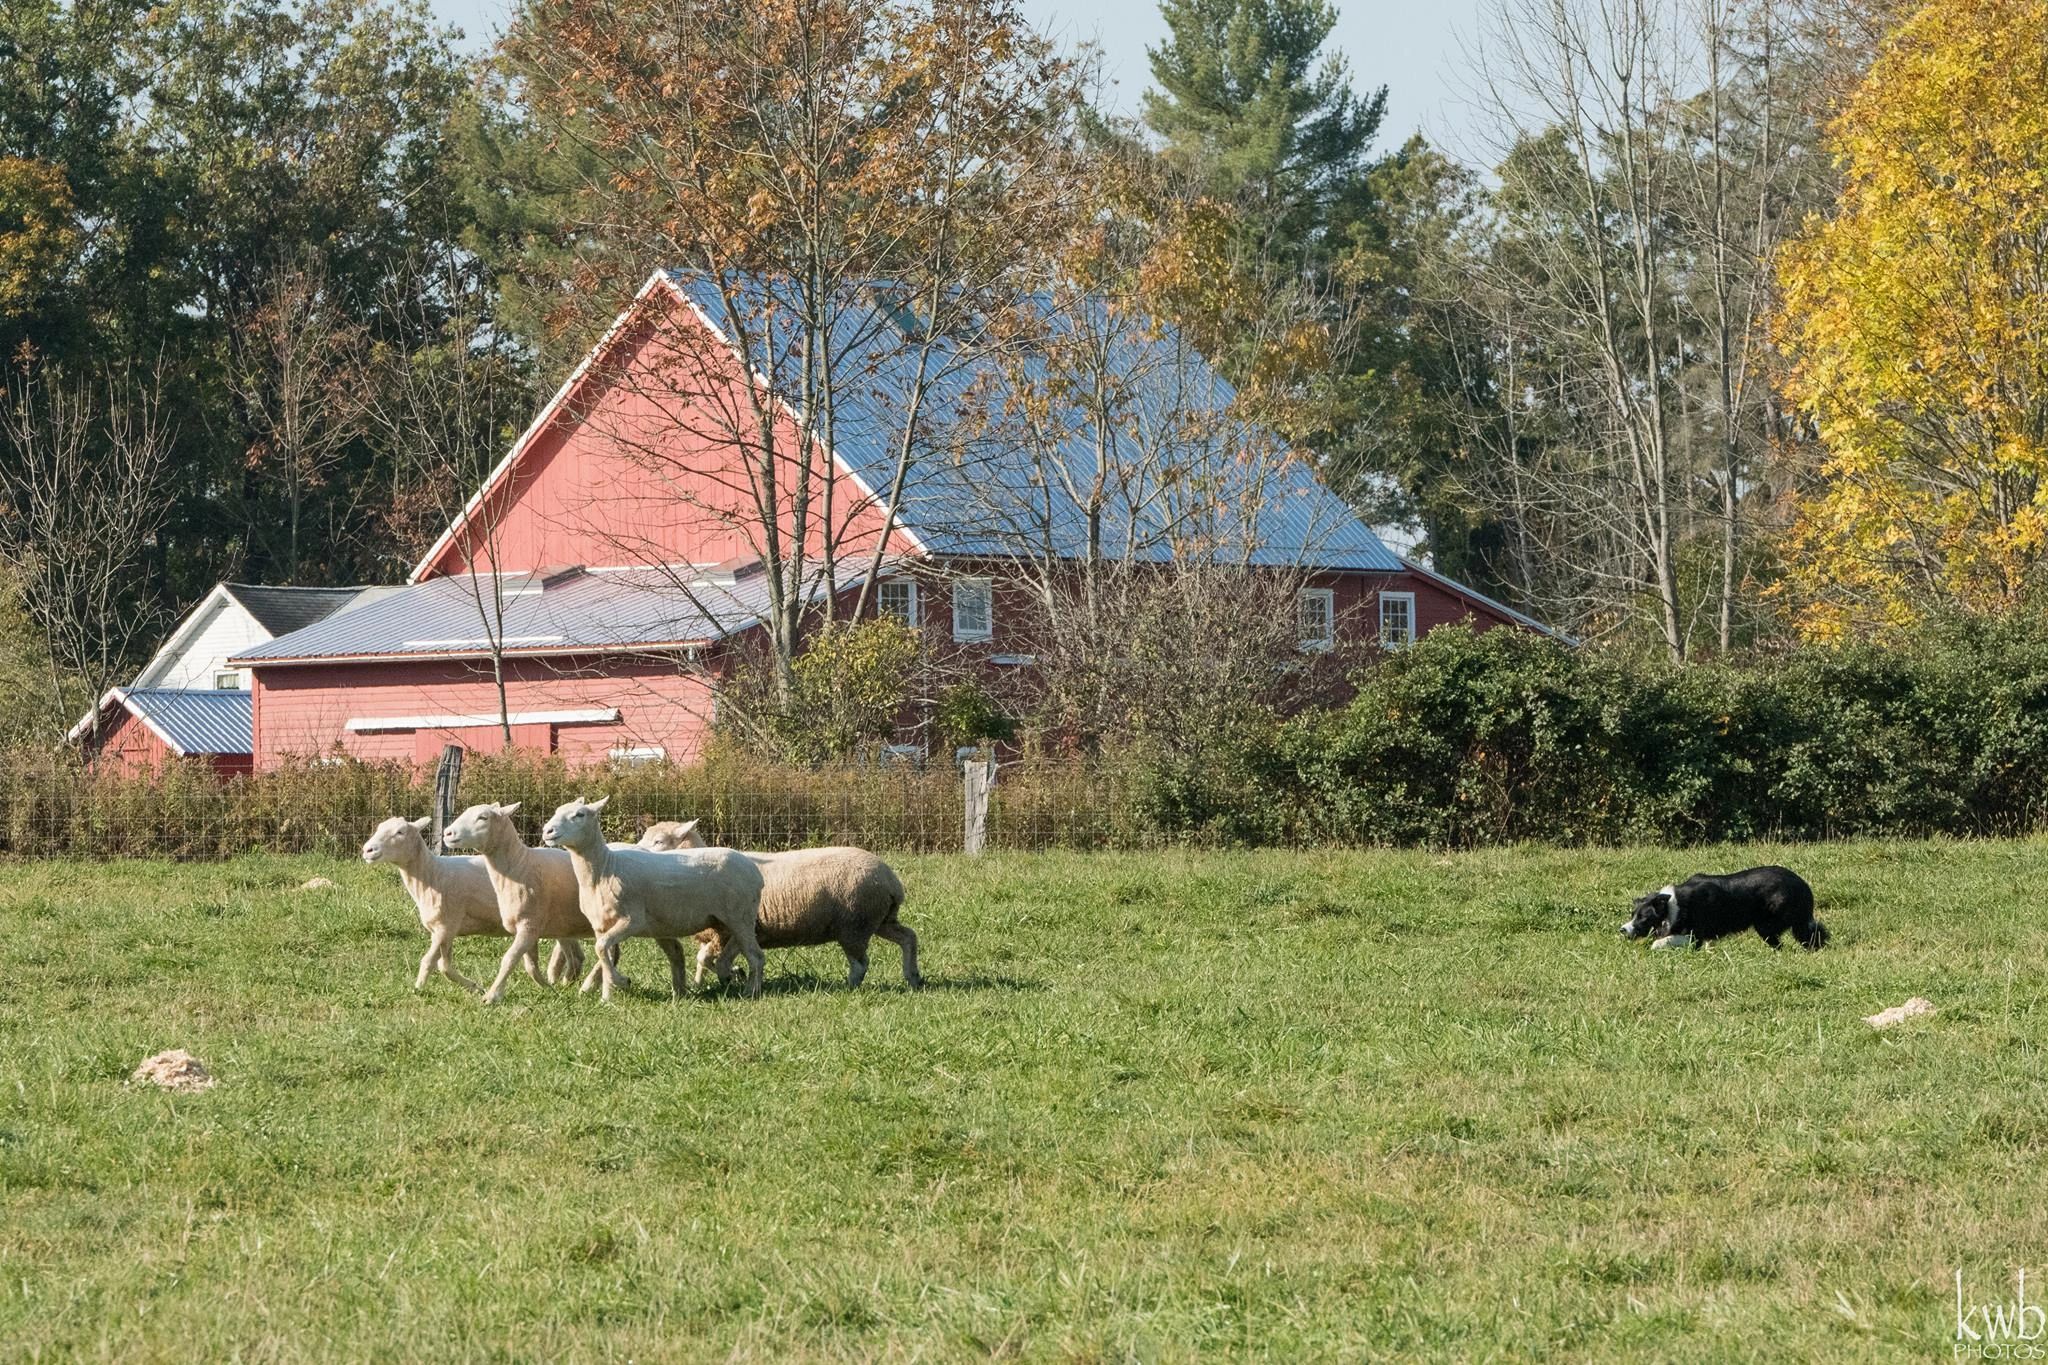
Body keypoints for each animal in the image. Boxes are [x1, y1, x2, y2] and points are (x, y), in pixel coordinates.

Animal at [361, 814, 586, 993]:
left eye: (400, 832)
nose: (367, 850)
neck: (433, 874)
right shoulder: (445, 930)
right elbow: (444, 966)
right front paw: (476, 987)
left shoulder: (445, 926)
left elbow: (428, 961)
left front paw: (418, 989)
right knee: (573, 952)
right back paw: (562, 979)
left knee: (572, 953)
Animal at [441, 802, 693, 1005]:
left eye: (483, 817)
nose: (447, 833)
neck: (520, 865)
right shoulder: (530, 926)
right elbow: (530, 965)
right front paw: (548, 987)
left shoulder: (529, 925)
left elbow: (509, 959)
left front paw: (491, 996)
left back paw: (595, 984)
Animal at [539, 795, 766, 1003]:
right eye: (557, 810)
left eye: (580, 814)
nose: (547, 831)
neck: (605, 868)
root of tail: (755, 871)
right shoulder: (601, 926)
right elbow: (604, 954)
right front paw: (606, 998)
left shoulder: (632, 920)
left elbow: (601, 948)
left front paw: (621, 982)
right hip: (728, 920)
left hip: (739, 915)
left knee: (756, 956)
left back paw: (751, 992)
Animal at [634, 819, 921, 990]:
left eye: (659, 841)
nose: (635, 854)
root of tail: (891, 879)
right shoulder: (725, 932)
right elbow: (707, 959)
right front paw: (712, 980)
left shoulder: (744, 928)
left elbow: (712, 958)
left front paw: (730, 977)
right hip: (880, 920)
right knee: (908, 937)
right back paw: (913, 976)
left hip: (854, 924)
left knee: (860, 962)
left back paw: (850, 985)